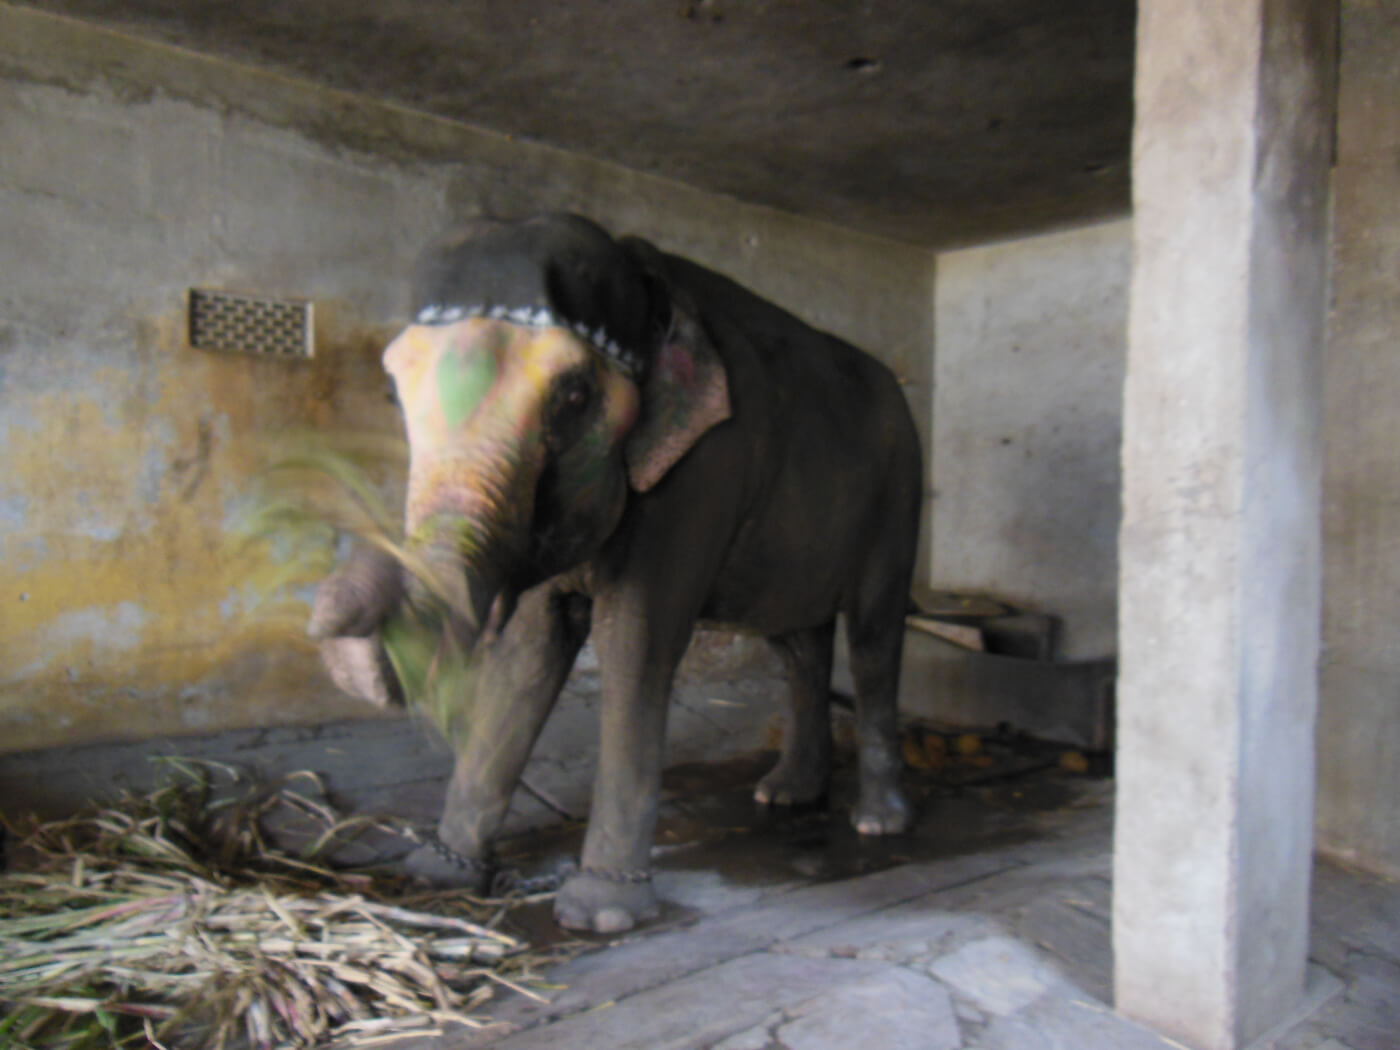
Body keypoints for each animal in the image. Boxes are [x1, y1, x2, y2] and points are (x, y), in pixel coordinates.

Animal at [309, 213, 922, 933]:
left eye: (575, 396)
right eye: (391, 392)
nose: (338, 605)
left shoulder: (703, 469)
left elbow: (636, 640)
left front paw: (600, 914)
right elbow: (529, 651)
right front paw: (439, 871)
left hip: (900, 488)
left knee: (875, 633)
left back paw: (876, 823)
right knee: (796, 639)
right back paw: (784, 795)